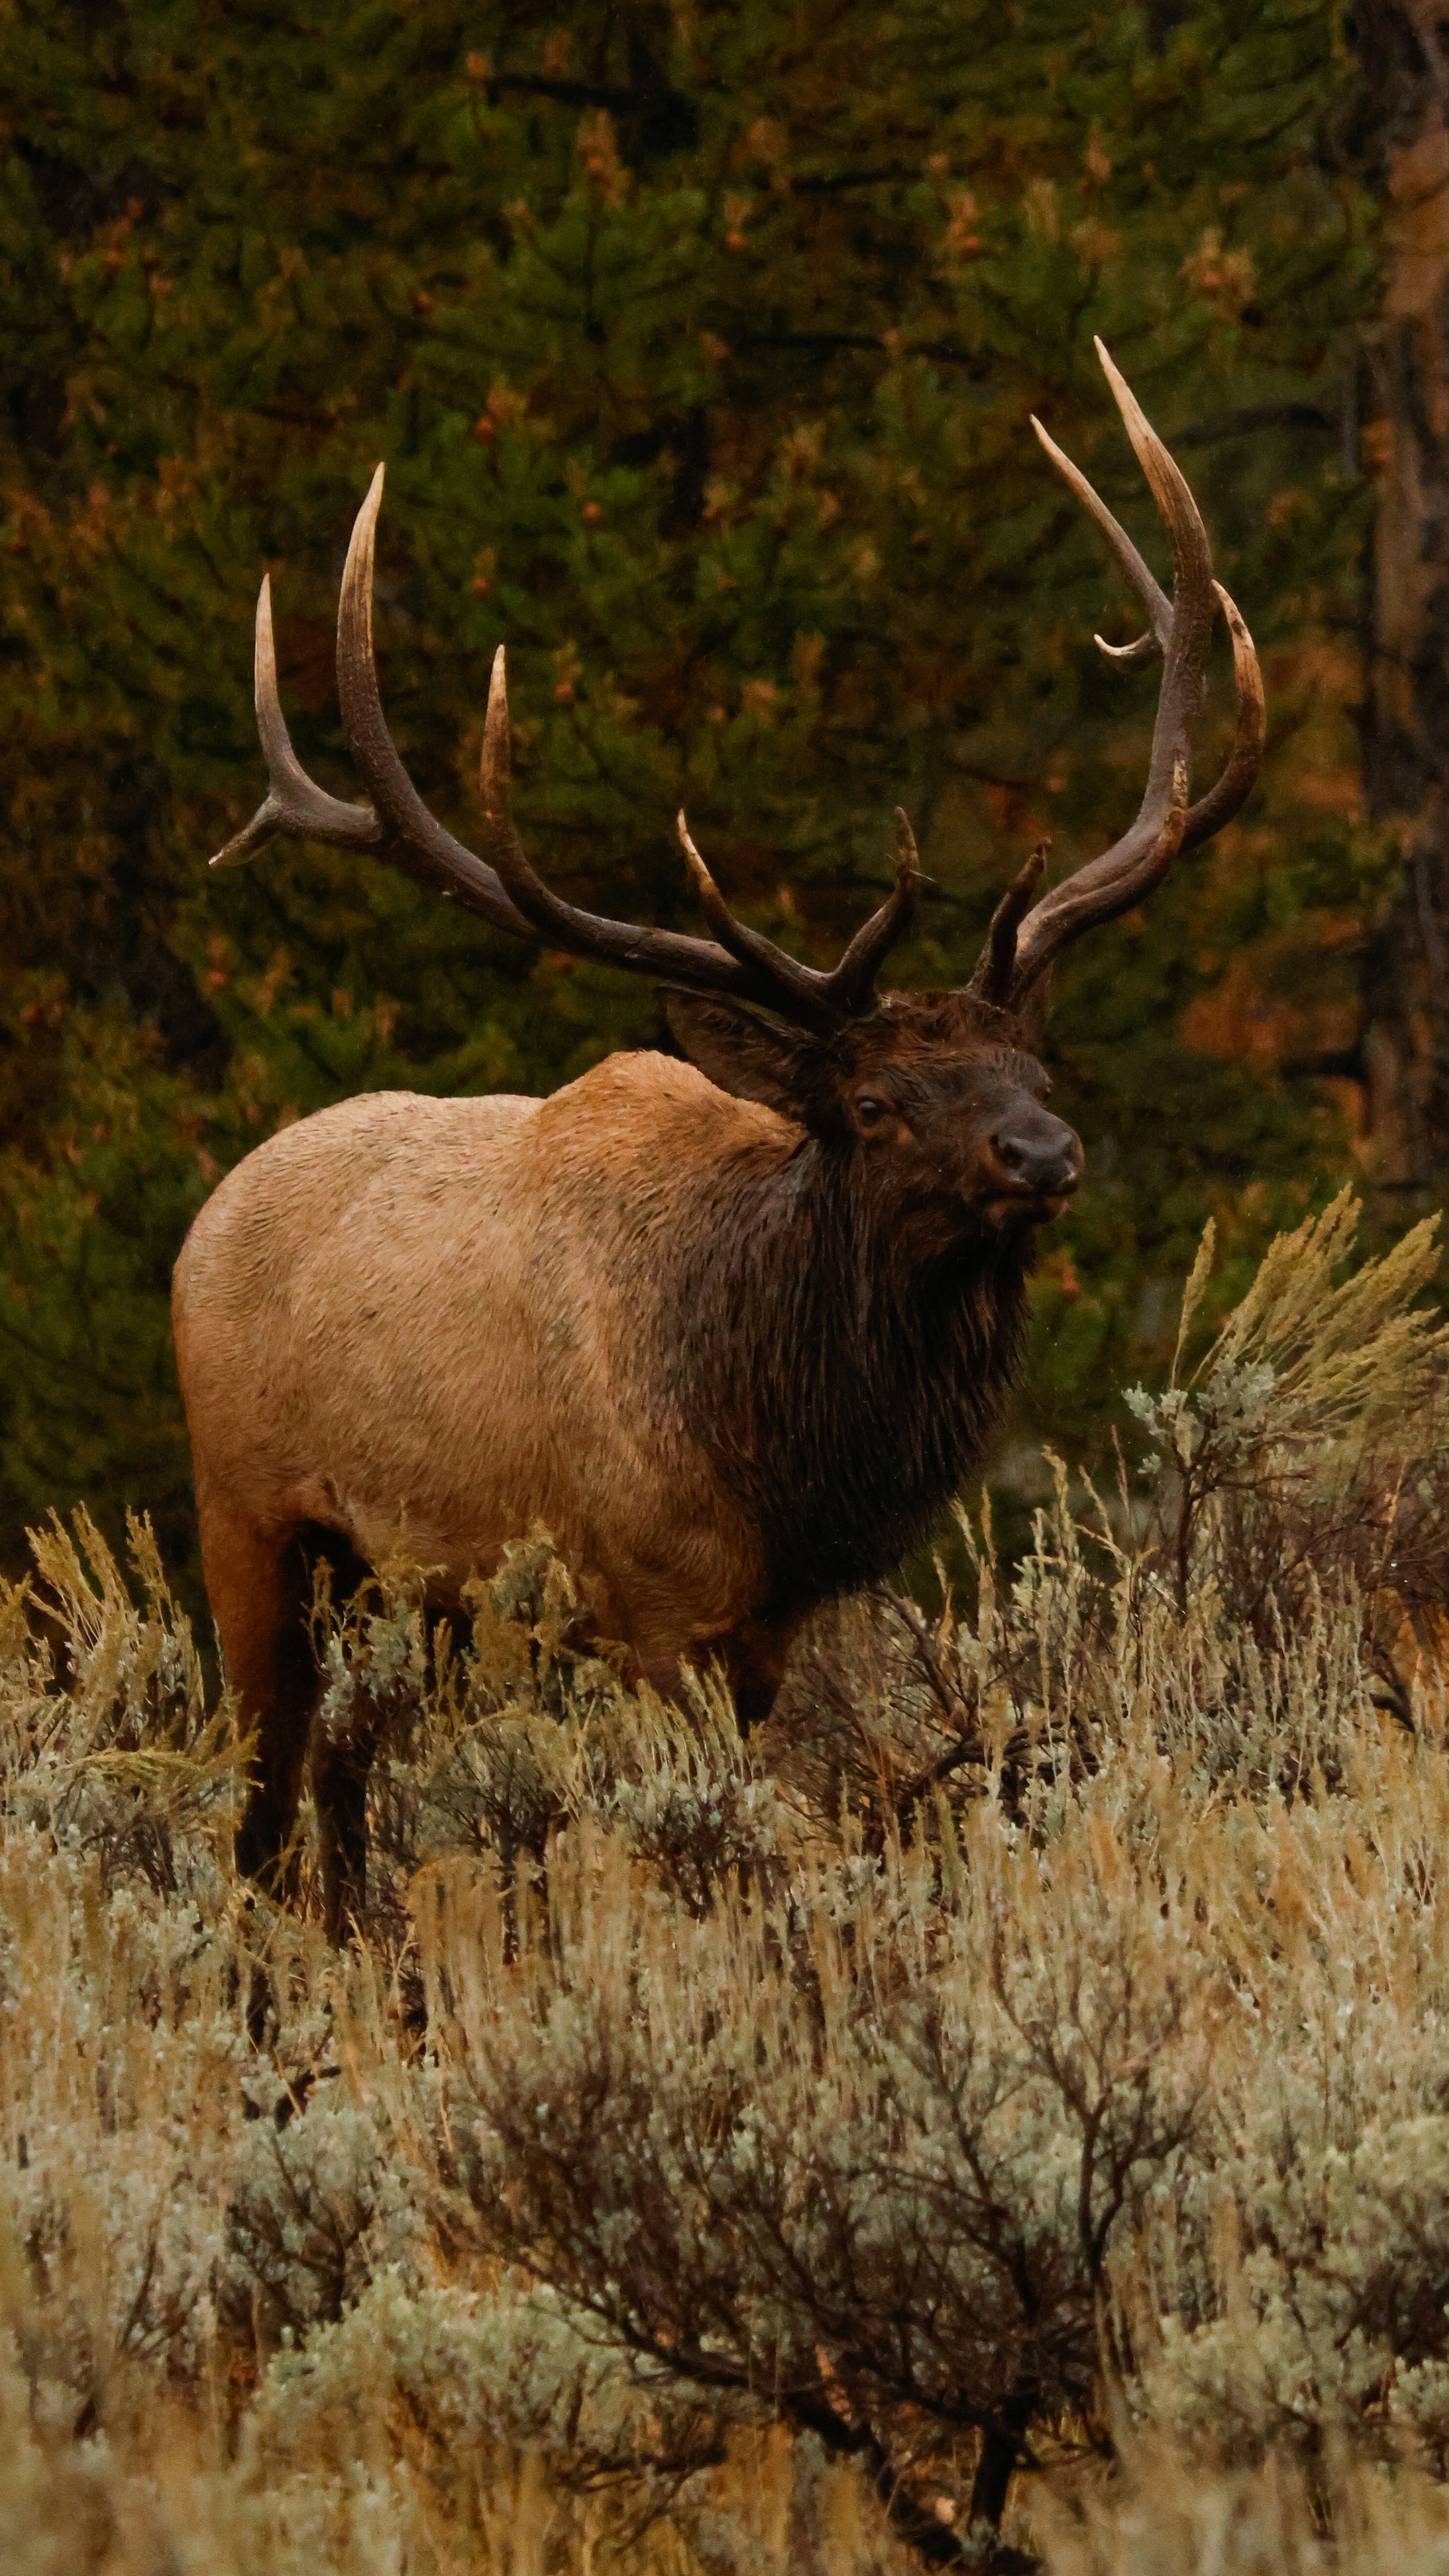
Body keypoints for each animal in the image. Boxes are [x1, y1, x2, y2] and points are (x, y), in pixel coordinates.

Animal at [173, 343, 1264, 1934]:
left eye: (1030, 1064)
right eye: (870, 1104)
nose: (1041, 1160)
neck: (788, 1457)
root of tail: (205, 1219)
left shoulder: (761, 1631)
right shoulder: (651, 1606)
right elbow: (688, 1857)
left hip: (411, 1596)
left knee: (346, 1784)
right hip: (251, 1519)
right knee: (257, 1807)